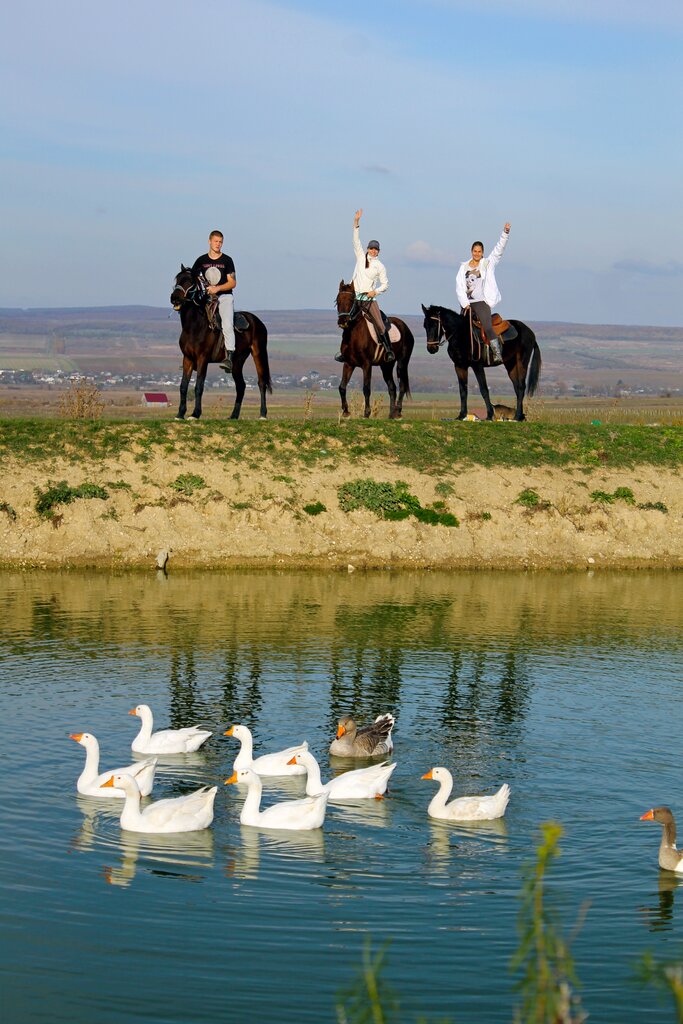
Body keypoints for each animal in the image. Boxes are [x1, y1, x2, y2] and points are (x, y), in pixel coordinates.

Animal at [170, 266, 272, 420]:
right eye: (177, 279)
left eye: (190, 281)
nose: (175, 297)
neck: (194, 326)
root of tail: (257, 321)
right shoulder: (187, 358)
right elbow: (183, 386)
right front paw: (180, 413)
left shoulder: (202, 358)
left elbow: (199, 386)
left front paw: (195, 414)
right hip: (237, 361)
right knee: (241, 386)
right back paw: (234, 415)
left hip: (258, 353)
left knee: (261, 383)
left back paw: (262, 414)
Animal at [335, 281, 414, 419]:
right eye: (338, 300)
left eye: (351, 300)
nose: (342, 321)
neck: (354, 333)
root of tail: (405, 327)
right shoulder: (348, 364)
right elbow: (342, 387)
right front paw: (346, 411)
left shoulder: (367, 364)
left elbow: (366, 388)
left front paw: (367, 413)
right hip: (386, 366)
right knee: (392, 387)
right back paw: (391, 414)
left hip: (402, 363)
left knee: (402, 386)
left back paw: (398, 411)